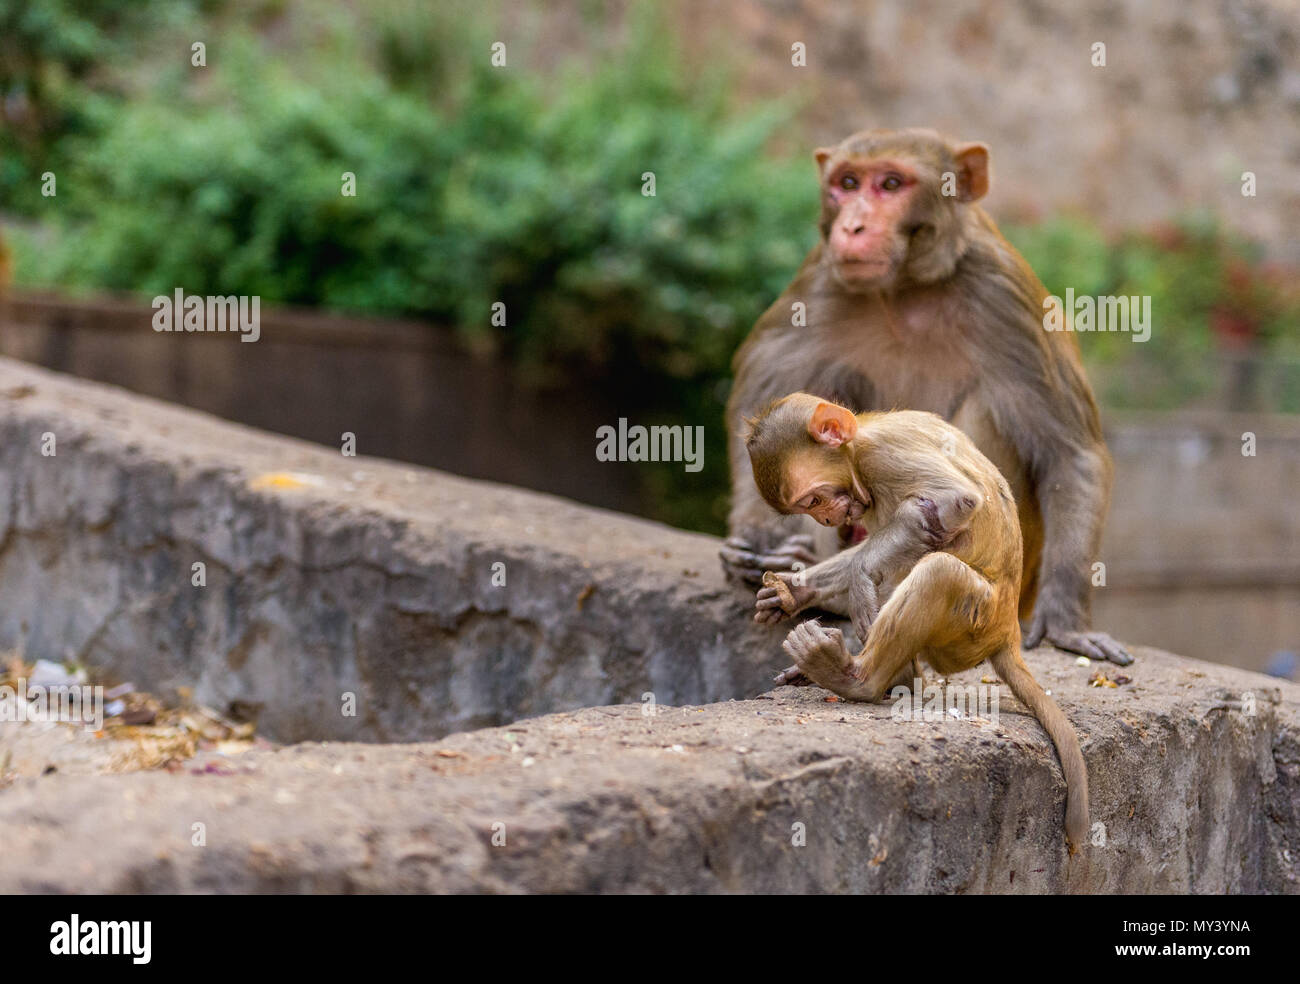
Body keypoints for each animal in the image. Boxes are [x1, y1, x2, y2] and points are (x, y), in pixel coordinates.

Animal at [720, 128, 1131, 666]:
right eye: (846, 183)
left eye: (892, 184)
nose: (851, 226)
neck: (907, 288)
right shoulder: (822, 280)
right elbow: (762, 393)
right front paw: (756, 543)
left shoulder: (1004, 293)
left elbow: (1070, 453)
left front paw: (1067, 624)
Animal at [745, 392, 1090, 852]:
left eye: (813, 501)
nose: (826, 521)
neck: (860, 442)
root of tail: (1008, 631)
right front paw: (793, 590)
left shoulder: (884, 452)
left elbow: (951, 501)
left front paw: (854, 576)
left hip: (972, 623)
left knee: (937, 569)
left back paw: (855, 678)